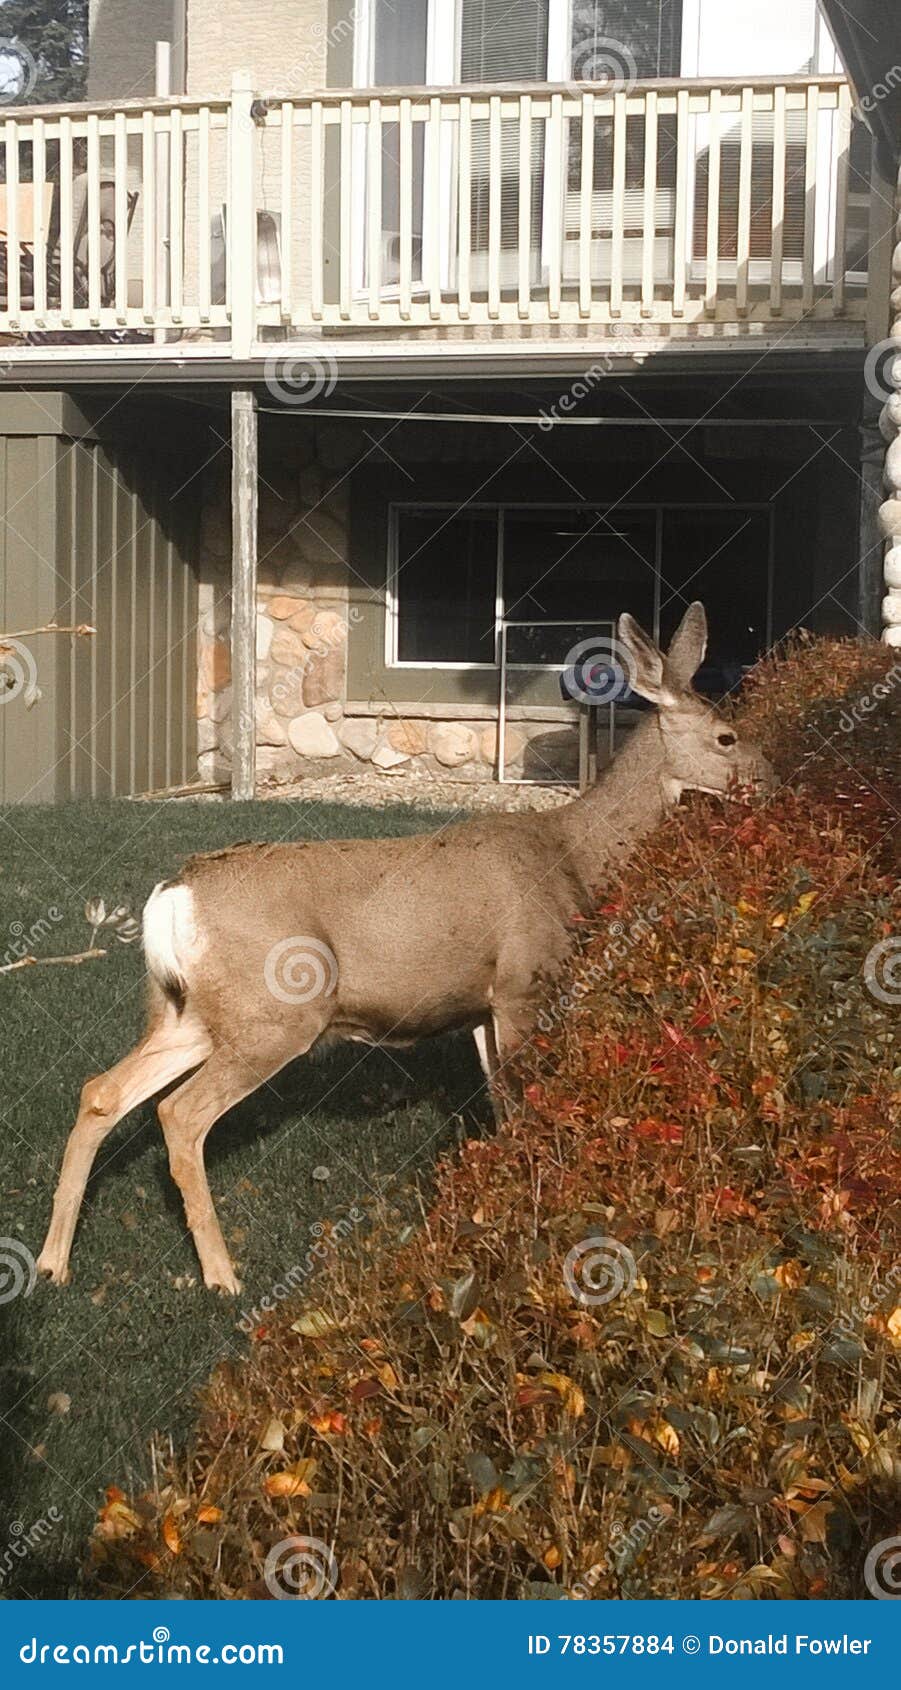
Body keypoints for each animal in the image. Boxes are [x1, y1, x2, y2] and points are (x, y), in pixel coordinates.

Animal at [37, 604, 773, 1294]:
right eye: (727, 736)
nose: (771, 777)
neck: (572, 857)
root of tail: (173, 895)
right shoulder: (522, 981)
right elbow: (520, 1102)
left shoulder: (477, 1005)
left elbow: (498, 1105)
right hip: (275, 1015)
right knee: (180, 1115)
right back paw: (222, 1276)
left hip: (188, 1010)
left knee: (101, 1091)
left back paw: (52, 1263)